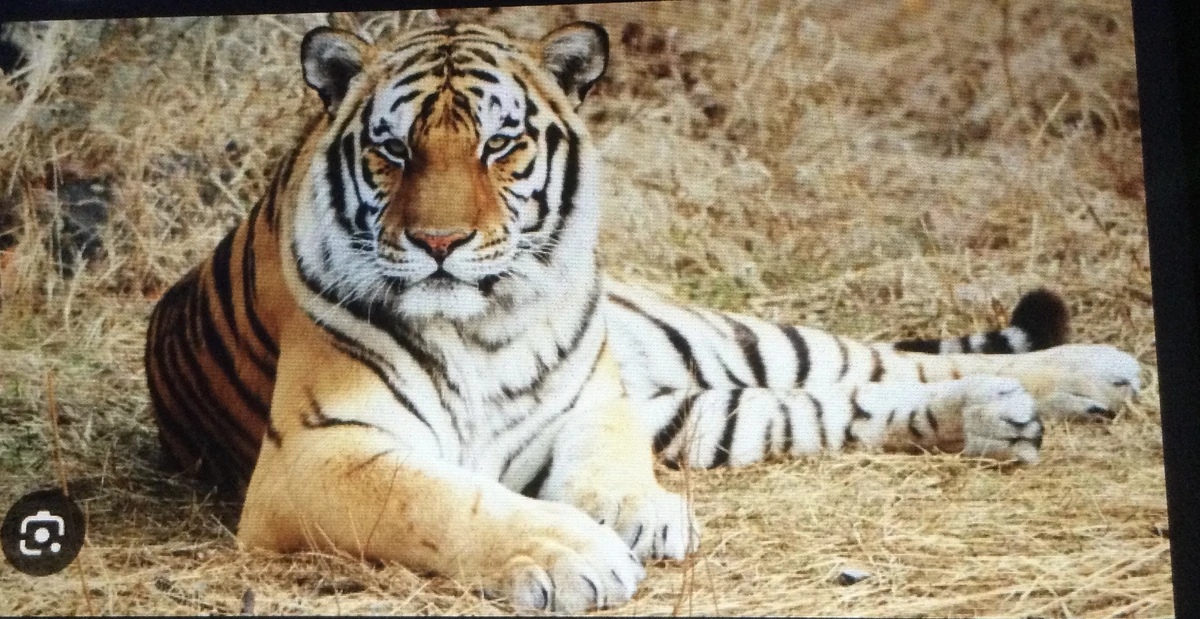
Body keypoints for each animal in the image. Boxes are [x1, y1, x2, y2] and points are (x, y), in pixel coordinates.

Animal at [143, 20, 1142, 612]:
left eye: (500, 146)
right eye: (391, 150)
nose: (438, 242)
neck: (481, 325)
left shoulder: (595, 399)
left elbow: (610, 462)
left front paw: (641, 513)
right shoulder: (316, 457)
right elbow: (441, 497)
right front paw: (575, 549)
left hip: (719, 344)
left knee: (881, 362)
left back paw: (1094, 374)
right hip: (710, 407)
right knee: (849, 402)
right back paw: (1001, 418)